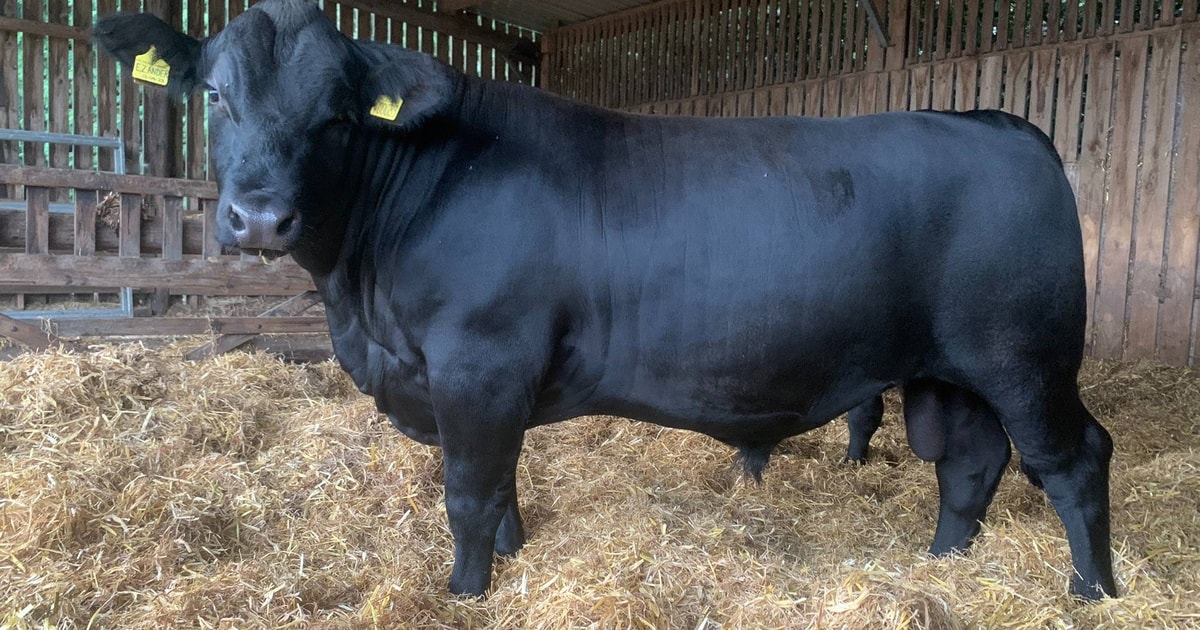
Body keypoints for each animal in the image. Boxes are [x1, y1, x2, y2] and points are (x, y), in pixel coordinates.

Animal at [93, 0, 1117, 600]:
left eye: (338, 110)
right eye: (215, 94)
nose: (260, 215)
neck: (361, 301)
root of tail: (1002, 121)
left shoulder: (478, 365)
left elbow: (468, 493)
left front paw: (466, 592)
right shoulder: (481, 386)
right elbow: (502, 489)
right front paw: (510, 561)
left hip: (1026, 359)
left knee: (1073, 460)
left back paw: (1092, 591)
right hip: (952, 372)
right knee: (970, 465)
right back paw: (942, 564)